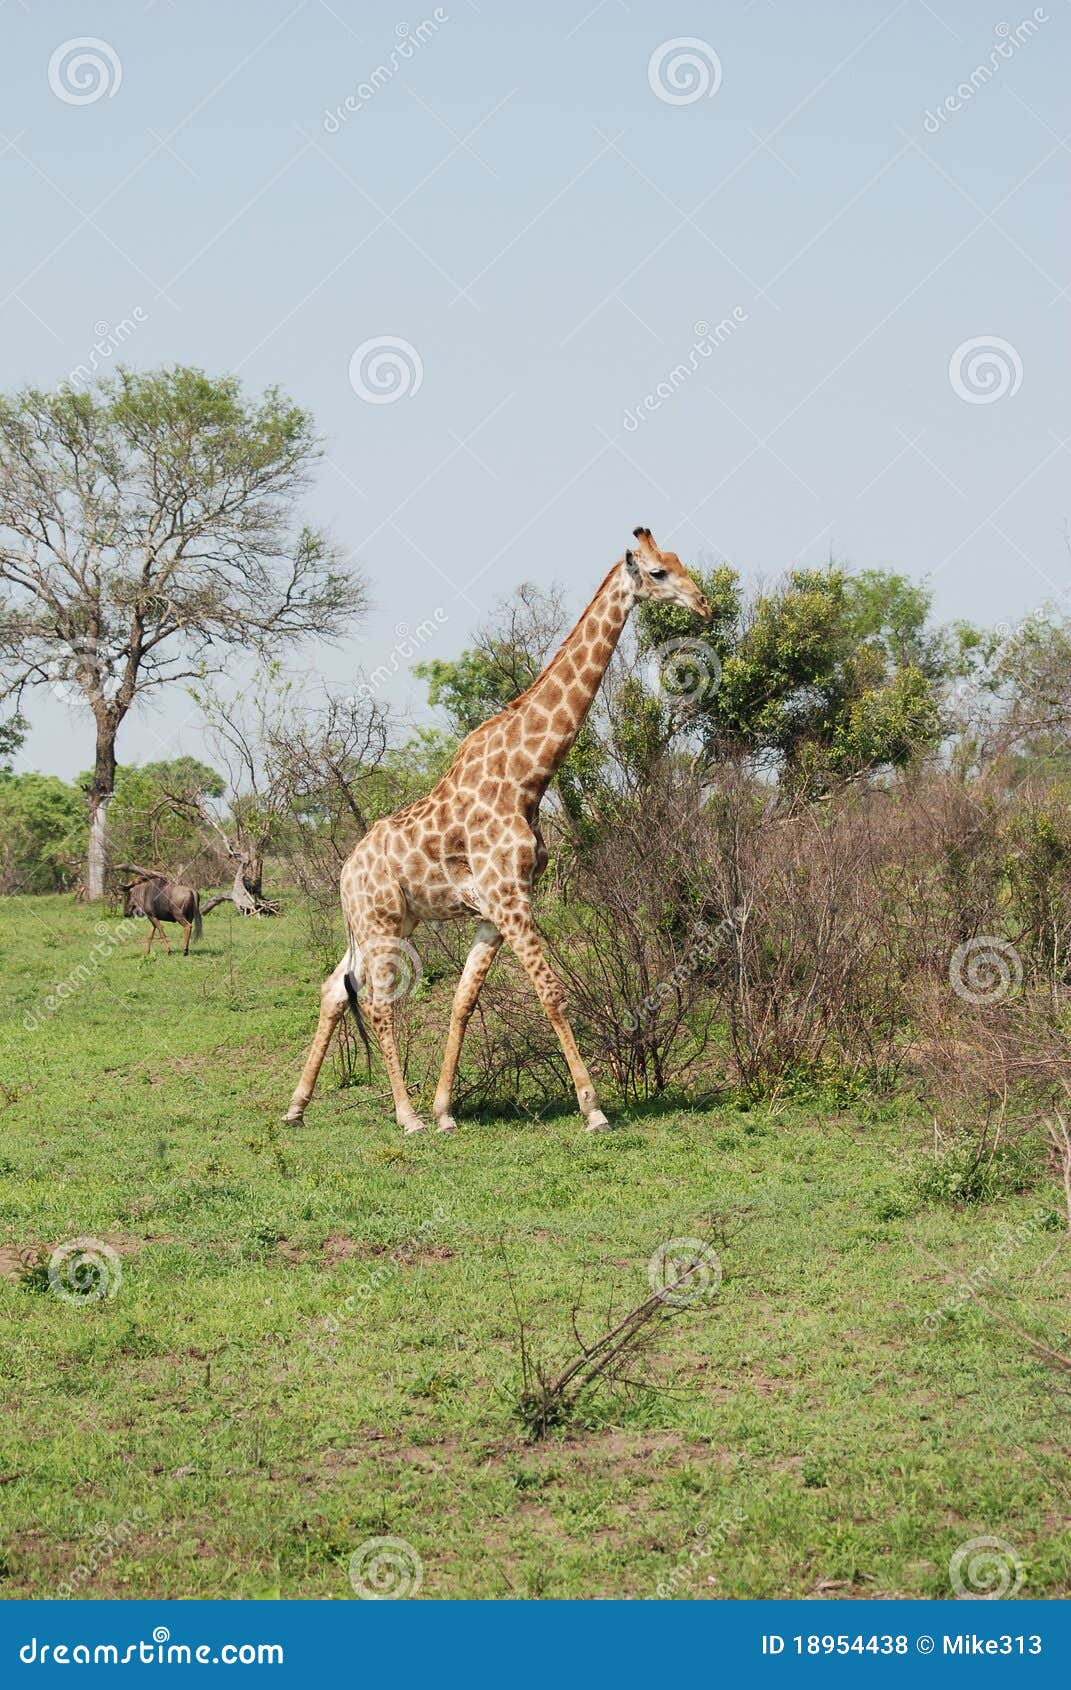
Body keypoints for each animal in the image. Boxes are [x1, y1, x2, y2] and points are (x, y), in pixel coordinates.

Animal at [285, 527, 711, 1135]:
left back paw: (296, 1108)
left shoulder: (495, 907)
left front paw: (445, 1111)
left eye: (678, 561)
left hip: (377, 925)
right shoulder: (510, 899)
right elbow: (552, 993)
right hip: (381, 923)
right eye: (657, 572)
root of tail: (344, 873)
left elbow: (463, 1001)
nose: (704, 604)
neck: (526, 776)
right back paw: (404, 1116)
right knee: (378, 1003)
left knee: (333, 990)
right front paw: (594, 1109)